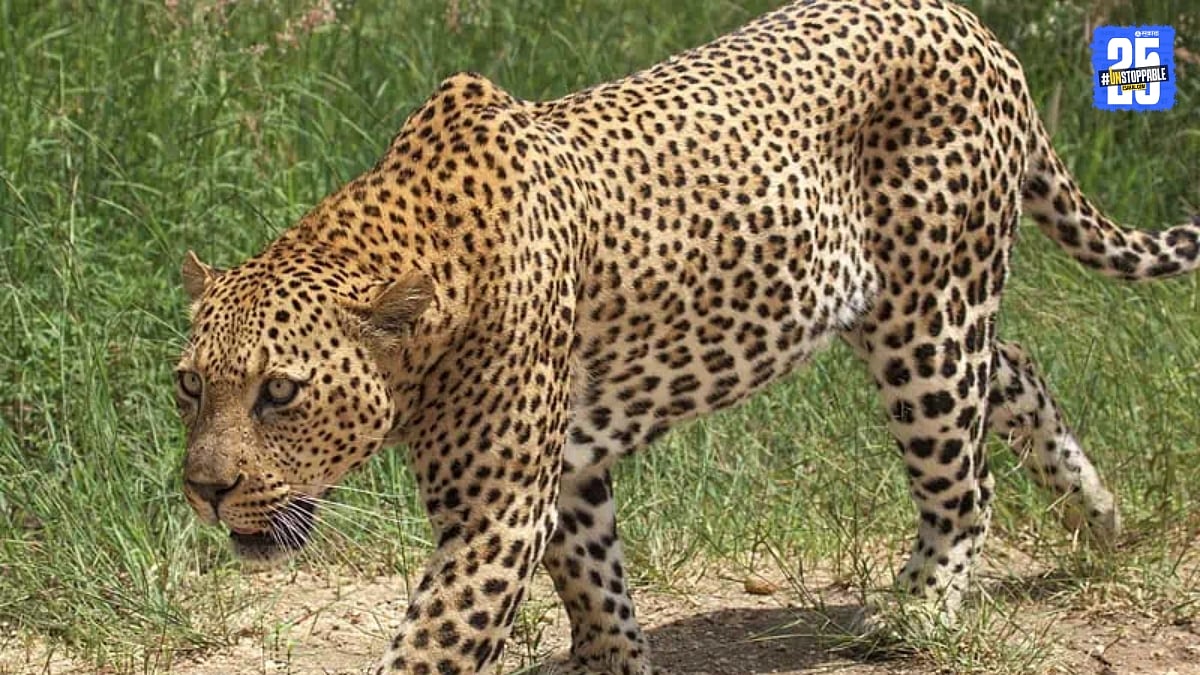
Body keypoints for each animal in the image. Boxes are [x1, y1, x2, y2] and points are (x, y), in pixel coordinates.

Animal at [174, 0, 1200, 673]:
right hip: (913, 310)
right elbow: (595, 581)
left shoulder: (494, 511)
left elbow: (432, 643)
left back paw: (918, 611)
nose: (204, 491)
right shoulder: (564, 472)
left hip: (929, 318)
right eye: (191, 385)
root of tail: (982, 31)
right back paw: (1101, 520)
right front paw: (612, 660)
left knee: (965, 476)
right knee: (1015, 370)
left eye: (279, 391)